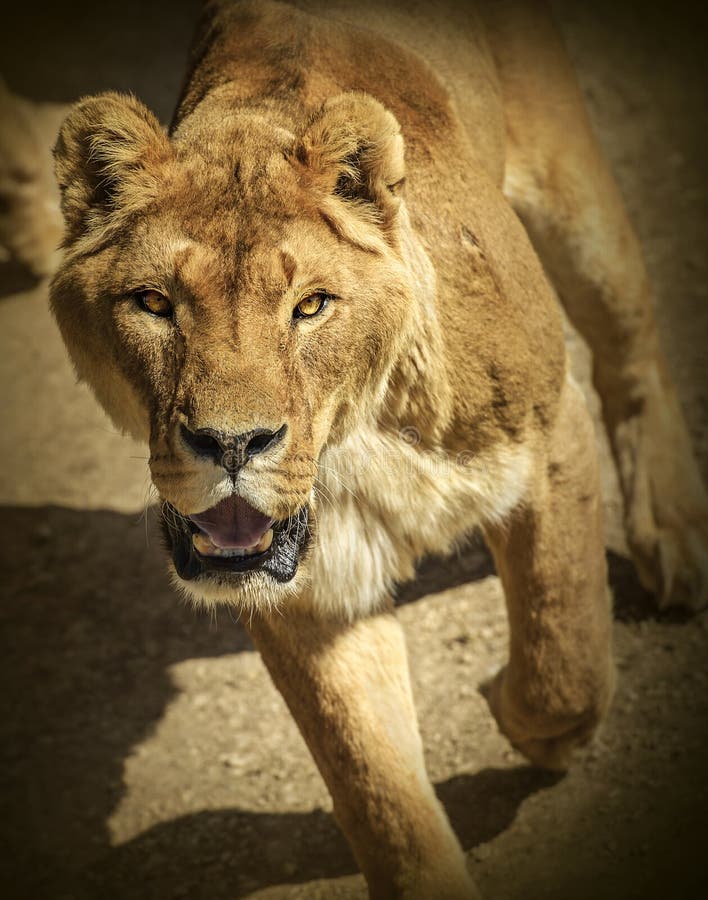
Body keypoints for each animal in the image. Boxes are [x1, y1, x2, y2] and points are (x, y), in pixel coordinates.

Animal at [46, 0, 708, 897]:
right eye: (153, 304)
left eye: (311, 306)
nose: (230, 444)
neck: (352, 436)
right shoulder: (312, 589)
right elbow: (376, 786)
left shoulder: (551, 432)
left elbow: (563, 657)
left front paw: (524, 721)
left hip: (572, 189)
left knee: (632, 342)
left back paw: (674, 531)